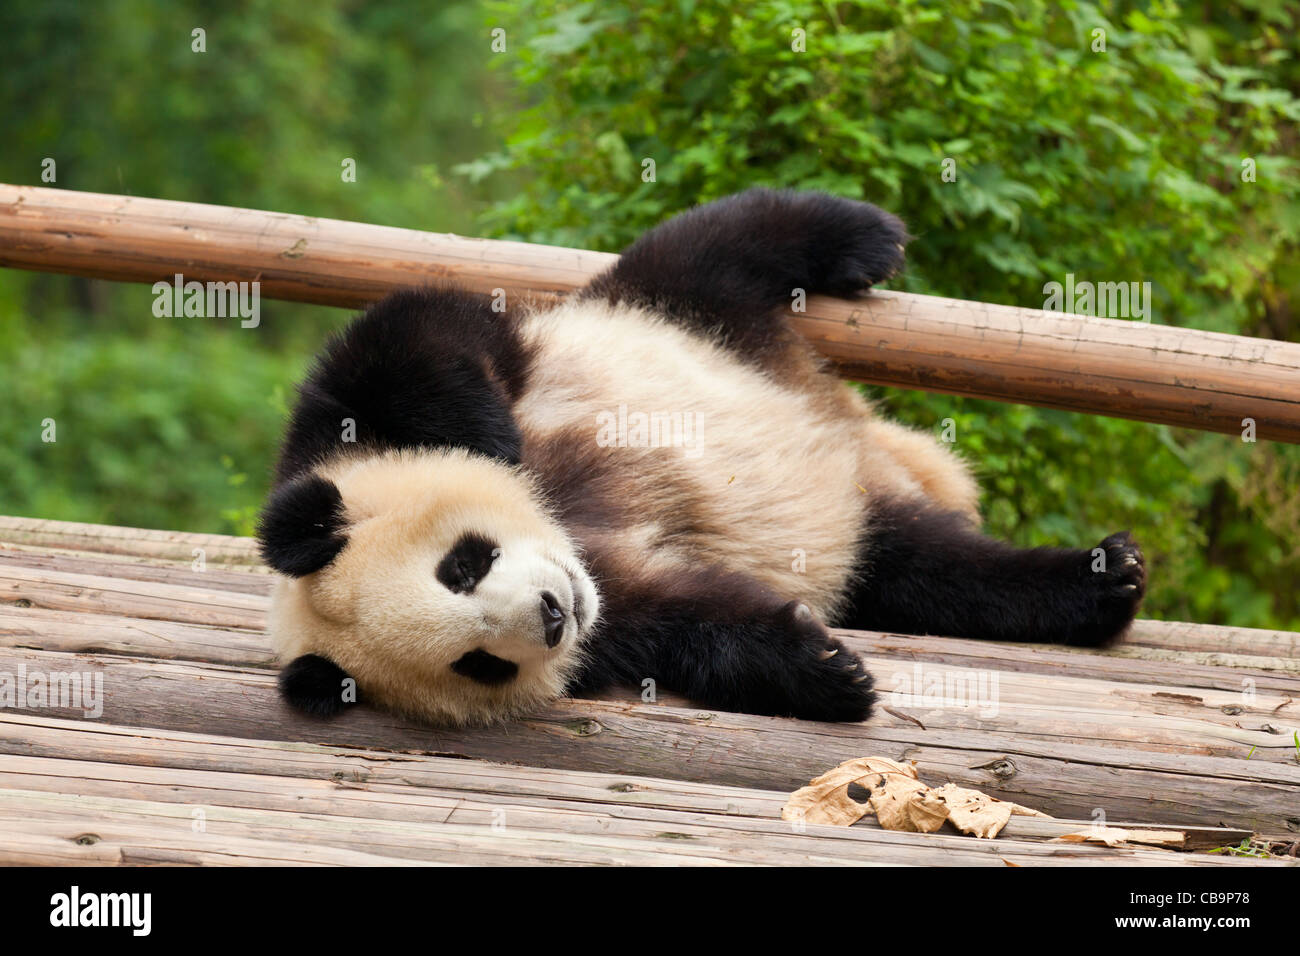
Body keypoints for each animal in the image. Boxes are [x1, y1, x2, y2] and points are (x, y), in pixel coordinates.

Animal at [257, 188, 1146, 727]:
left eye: (462, 564)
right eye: (479, 663)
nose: (551, 612)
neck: (570, 525)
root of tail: (850, 435)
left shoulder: (339, 435)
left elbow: (418, 334)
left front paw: (499, 445)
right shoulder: (614, 621)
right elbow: (690, 623)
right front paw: (825, 670)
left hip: (681, 319)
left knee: (705, 251)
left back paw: (863, 235)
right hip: (868, 537)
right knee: (937, 573)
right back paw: (1100, 581)